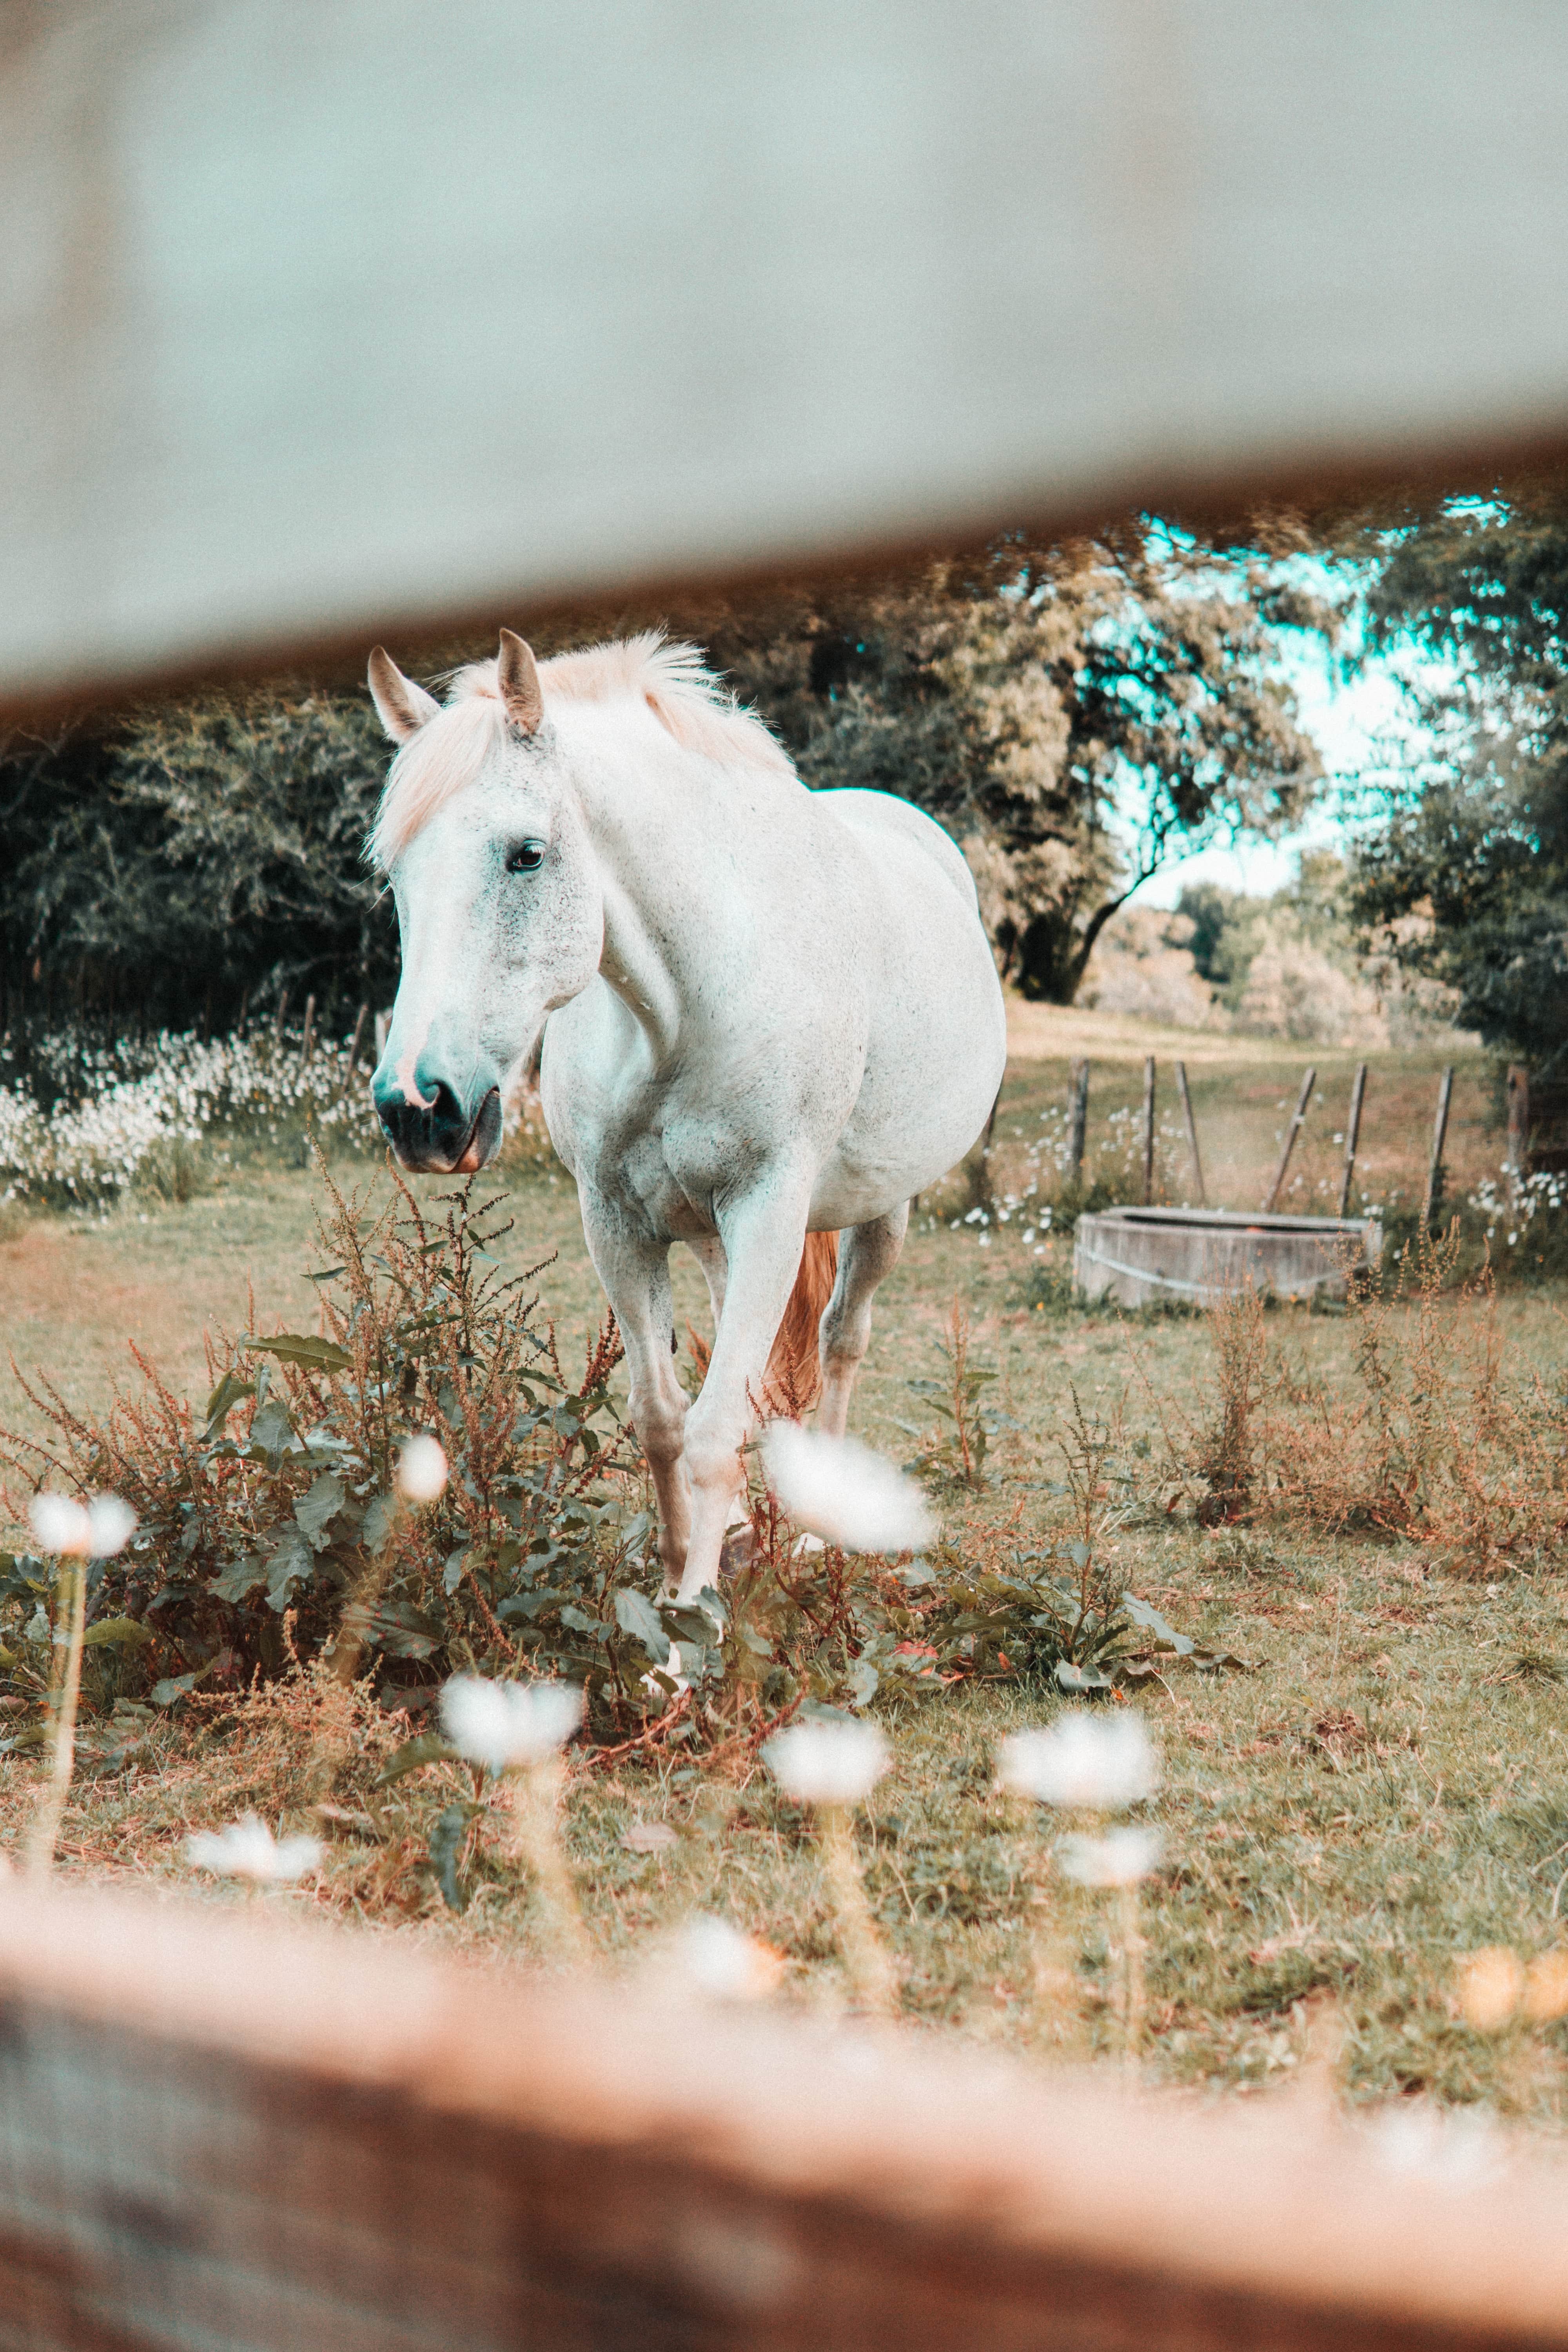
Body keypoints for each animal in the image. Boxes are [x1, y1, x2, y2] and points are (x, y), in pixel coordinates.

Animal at [366, 629, 1007, 1603]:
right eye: (397, 876)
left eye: (526, 855)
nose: (418, 1107)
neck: (682, 1004)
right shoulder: (617, 1224)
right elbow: (665, 1420)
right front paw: (680, 1574)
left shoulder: (769, 1210)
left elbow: (710, 1432)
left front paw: (690, 1624)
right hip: (710, 1235)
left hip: (881, 1211)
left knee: (841, 1341)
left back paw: (814, 1529)